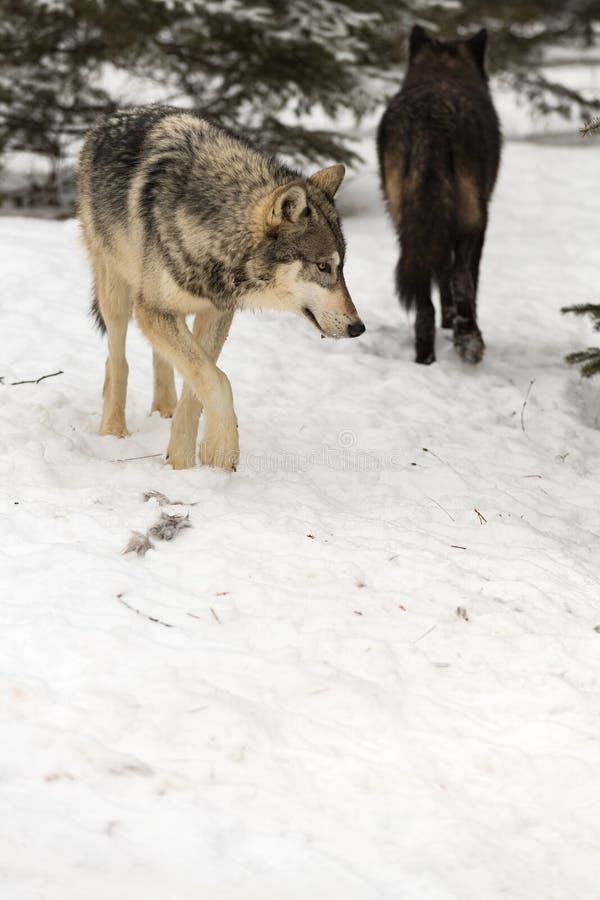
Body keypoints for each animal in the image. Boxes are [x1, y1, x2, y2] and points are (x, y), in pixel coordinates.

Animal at [78, 105, 364, 470]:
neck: (215, 228)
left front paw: (185, 462)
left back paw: (164, 409)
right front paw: (221, 449)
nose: (358, 328)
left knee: (162, 360)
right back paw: (113, 429)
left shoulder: (215, 314)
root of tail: (119, 113)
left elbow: (200, 385)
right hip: (118, 294)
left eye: (341, 267)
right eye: (323, 266)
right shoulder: (153, 309)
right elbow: (217, 380)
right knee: (117, 361)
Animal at [377, 26, 501, 364]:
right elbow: (463, 278)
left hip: (405, 222)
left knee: (422, 301)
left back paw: (425, 359)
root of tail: (429, 120)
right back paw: (469, 341)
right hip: (473, 219)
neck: (442, 73)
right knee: (461, 276)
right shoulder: (477, 224)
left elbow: (439, 274)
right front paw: (455, 326)